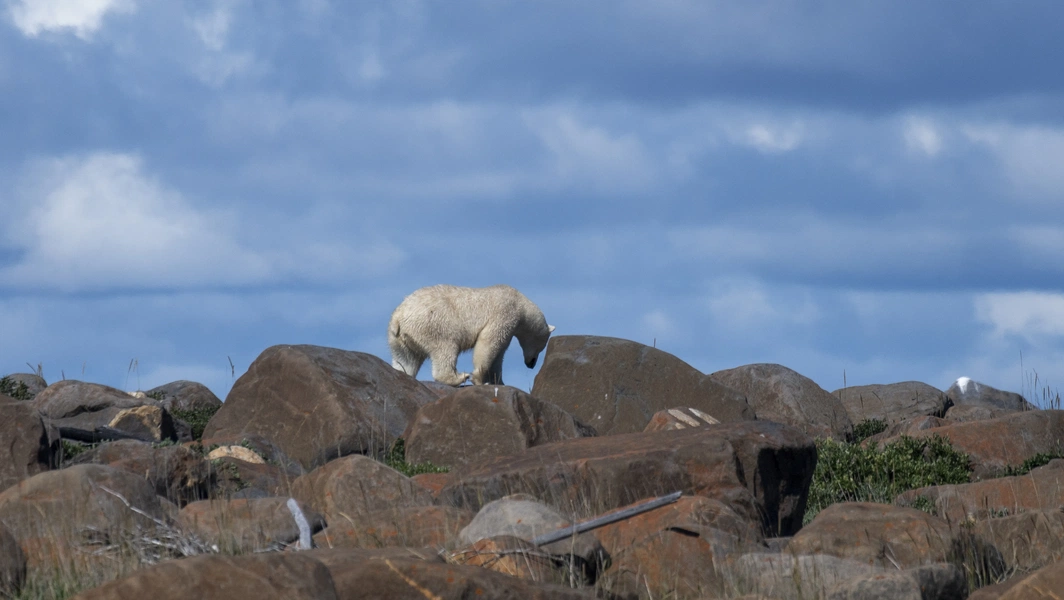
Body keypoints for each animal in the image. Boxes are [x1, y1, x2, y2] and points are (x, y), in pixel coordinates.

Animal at [388, 284, 555, 386]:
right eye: (542, 347)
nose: (531, 364)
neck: (520, 303)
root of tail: (399, 316)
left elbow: (499, 355)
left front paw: (499, 382)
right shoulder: (505, 313)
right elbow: (488, 344)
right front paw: (479, 379)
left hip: (400, 338)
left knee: (406, 359)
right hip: (434, 324)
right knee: (445, 349)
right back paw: (459, 377)